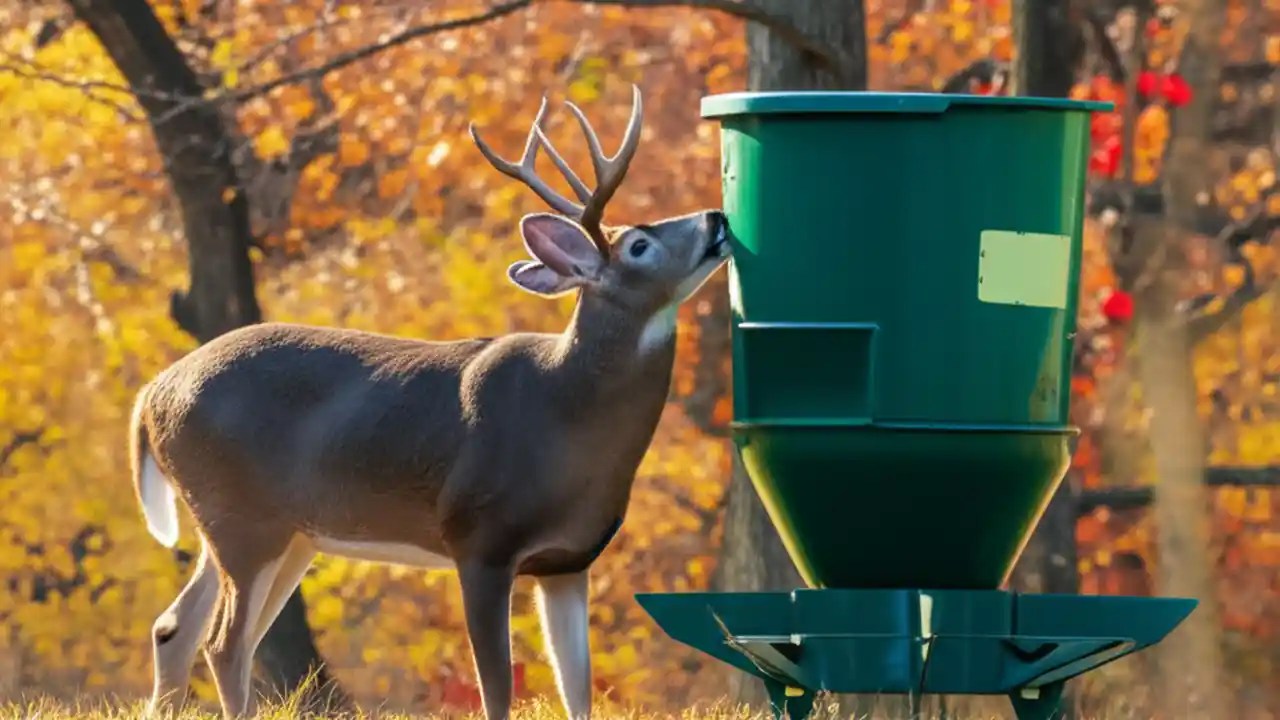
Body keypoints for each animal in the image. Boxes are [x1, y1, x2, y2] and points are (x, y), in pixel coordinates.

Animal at [127, 84, 732, 720]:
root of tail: (151, 394)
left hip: (276, 530)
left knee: (175, 628)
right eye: (640, 244)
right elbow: (497, 691)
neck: (565, 412)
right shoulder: (479, 540)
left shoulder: (569, 562)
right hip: (241, 518)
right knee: (225, 643)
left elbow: (579, 693)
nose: (716, 218)